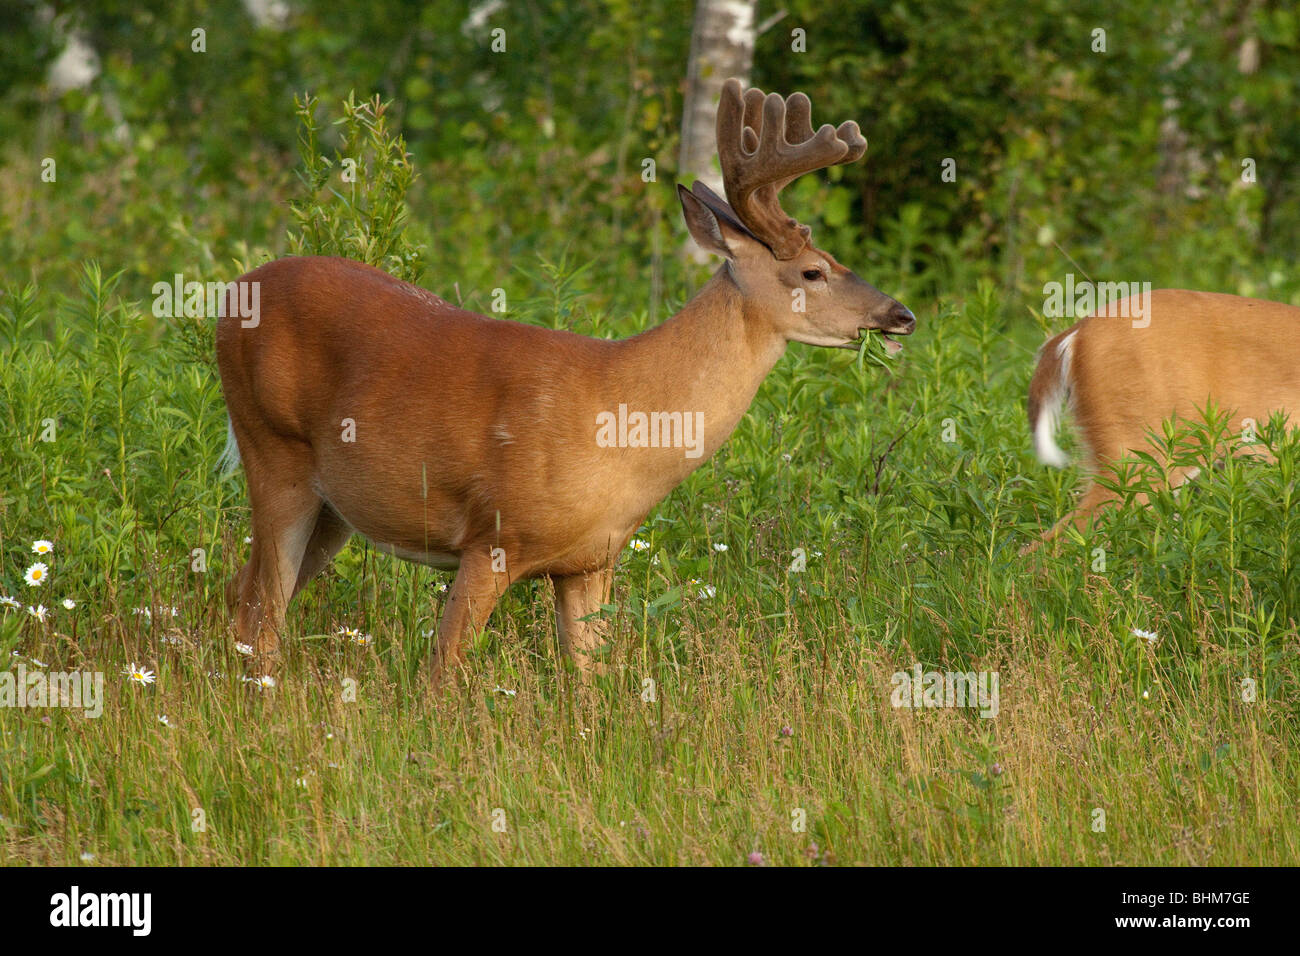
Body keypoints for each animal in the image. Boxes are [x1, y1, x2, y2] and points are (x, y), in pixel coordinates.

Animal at [215, 78, 916, 683]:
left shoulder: (590, 561)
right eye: (814, 270)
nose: (900, 314)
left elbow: (591, 682)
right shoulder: (495, 535)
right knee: (260, 614)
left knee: (240, 596)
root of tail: (233, 293)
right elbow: (442, 671)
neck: (627, 423)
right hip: (273, 452)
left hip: (336, 506)